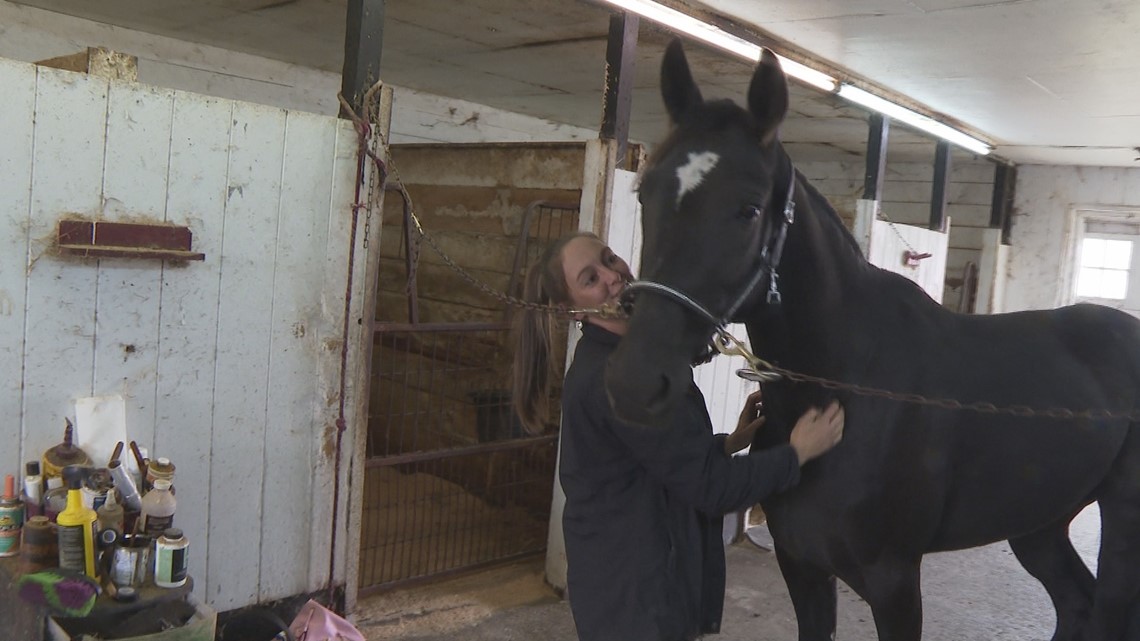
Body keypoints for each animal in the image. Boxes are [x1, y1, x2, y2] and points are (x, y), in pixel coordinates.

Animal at [603, 39, 1140, 641]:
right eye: (645, 194)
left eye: (748, 209)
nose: (634, 382)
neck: (844, 387)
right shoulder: (802, 568)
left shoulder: (894, 583)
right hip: (1038, 520)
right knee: (1075, 603)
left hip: (1122, 524)